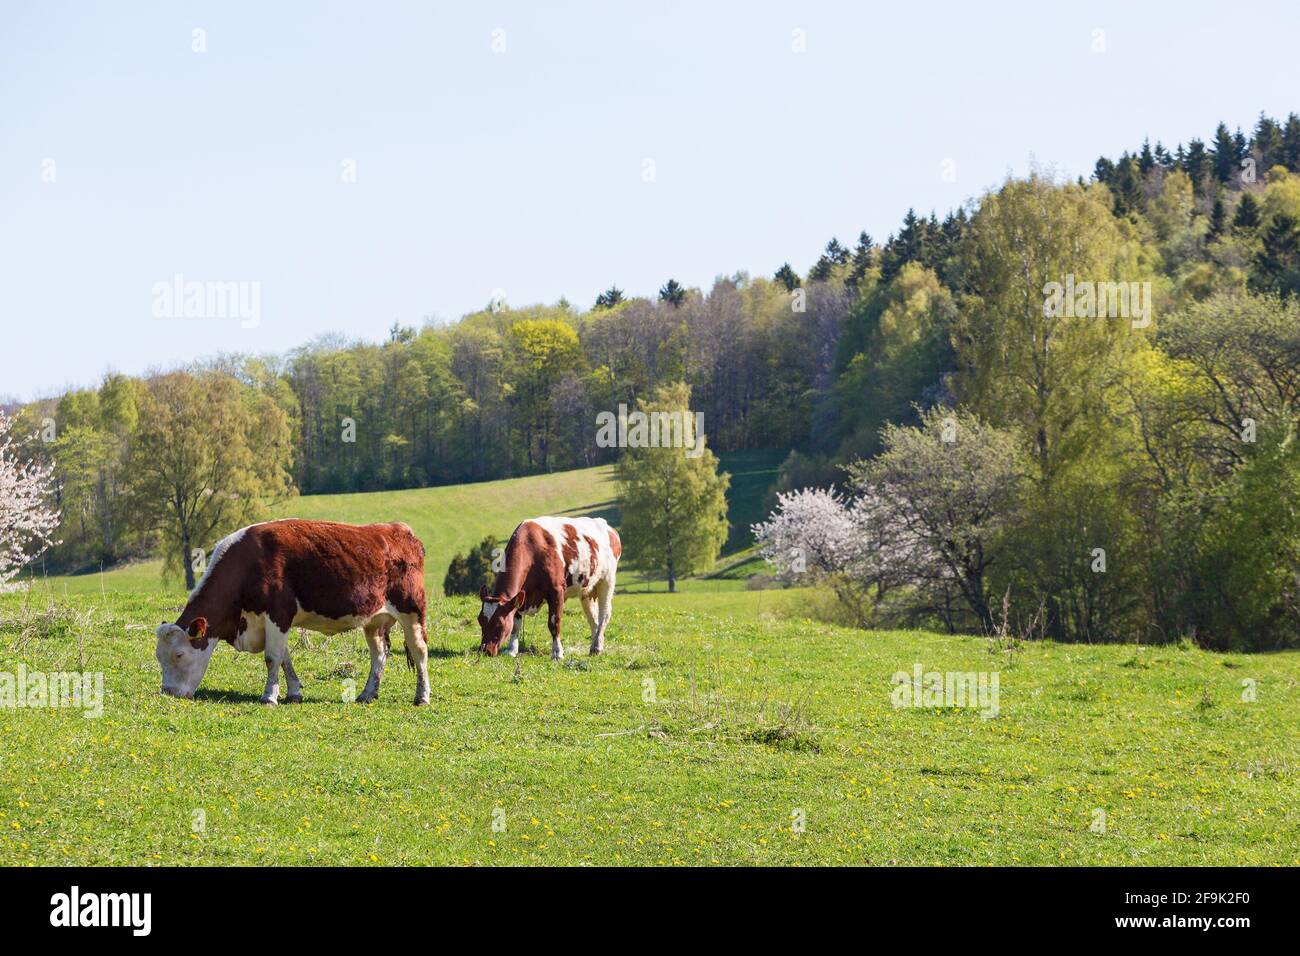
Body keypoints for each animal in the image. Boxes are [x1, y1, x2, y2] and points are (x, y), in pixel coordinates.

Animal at [154, 519, 430, 706]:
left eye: (179, 654)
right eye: (159, 657)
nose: (168, 693)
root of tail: (399, 530)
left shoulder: (278, 613)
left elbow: (272, 658)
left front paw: (269, 697)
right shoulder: (274, 621)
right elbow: (284, 658)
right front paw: (294, 692)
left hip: (412, 611)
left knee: (420, 651)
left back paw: (422, 696)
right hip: (374, 619)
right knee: (379, 654)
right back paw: (367, 694)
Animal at [478, 515, 621, 660]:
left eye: (499, 624)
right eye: (480, 621)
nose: (485, 650)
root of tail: (609, 528)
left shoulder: (556, 590)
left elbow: (554, 623)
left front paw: (557, 653)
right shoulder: (519, 596)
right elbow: (516, 624)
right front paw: (511, 650)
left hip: (607, 581)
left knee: (604, 615)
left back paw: (597, 647)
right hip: (587, 589)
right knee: (593, 619)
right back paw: (595, 646)